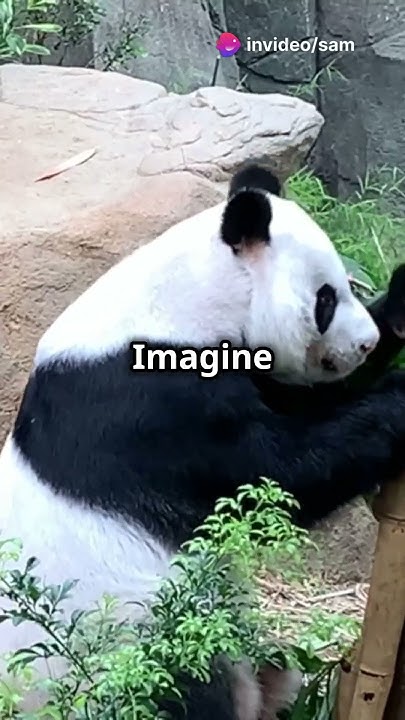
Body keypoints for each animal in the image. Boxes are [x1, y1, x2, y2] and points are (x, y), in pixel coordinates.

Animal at [1, 162, 405, 718]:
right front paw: (399, 399)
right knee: (180, 685)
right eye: (324, 299)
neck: (183, 300)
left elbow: (306, 408)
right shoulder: (150, 409)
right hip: (133, 646)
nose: (364, 343)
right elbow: (273, 479)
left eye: (346, 285)